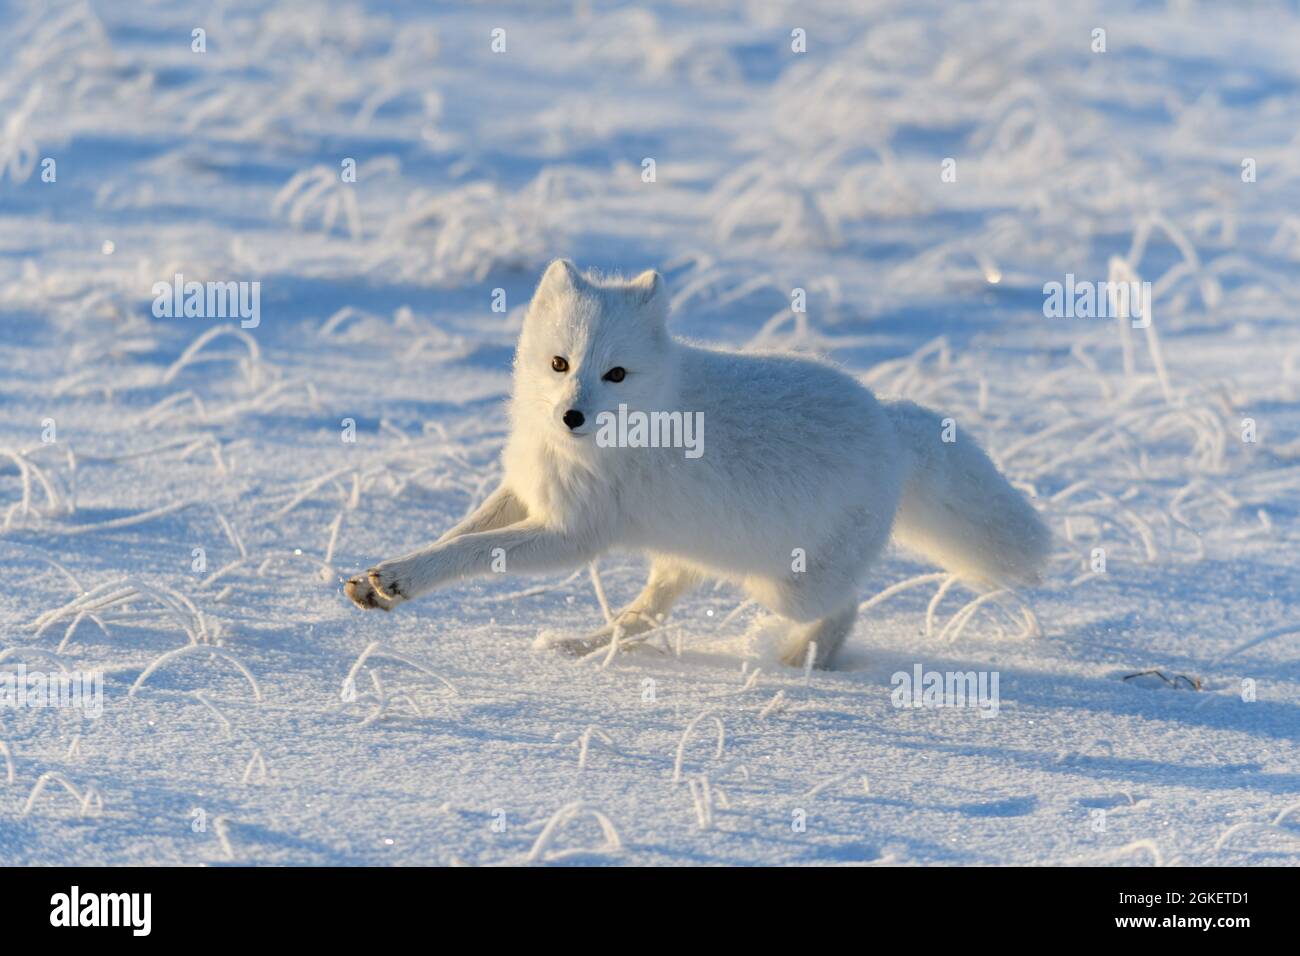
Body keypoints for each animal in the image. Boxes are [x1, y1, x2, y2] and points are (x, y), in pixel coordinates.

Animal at [345, 259, 1051, 668]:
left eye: (616, 373)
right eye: (559, 363)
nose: (572, 416)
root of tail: (891, 422)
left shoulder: (573, 534)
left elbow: (472, 551)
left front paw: (402, 579)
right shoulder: (526, 491)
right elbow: (457, 534)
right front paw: (380, 580)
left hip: (784, 582)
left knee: (845, 607)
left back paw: (799, 659)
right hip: (686, 556)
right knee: (644, 615)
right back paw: (584, 646)